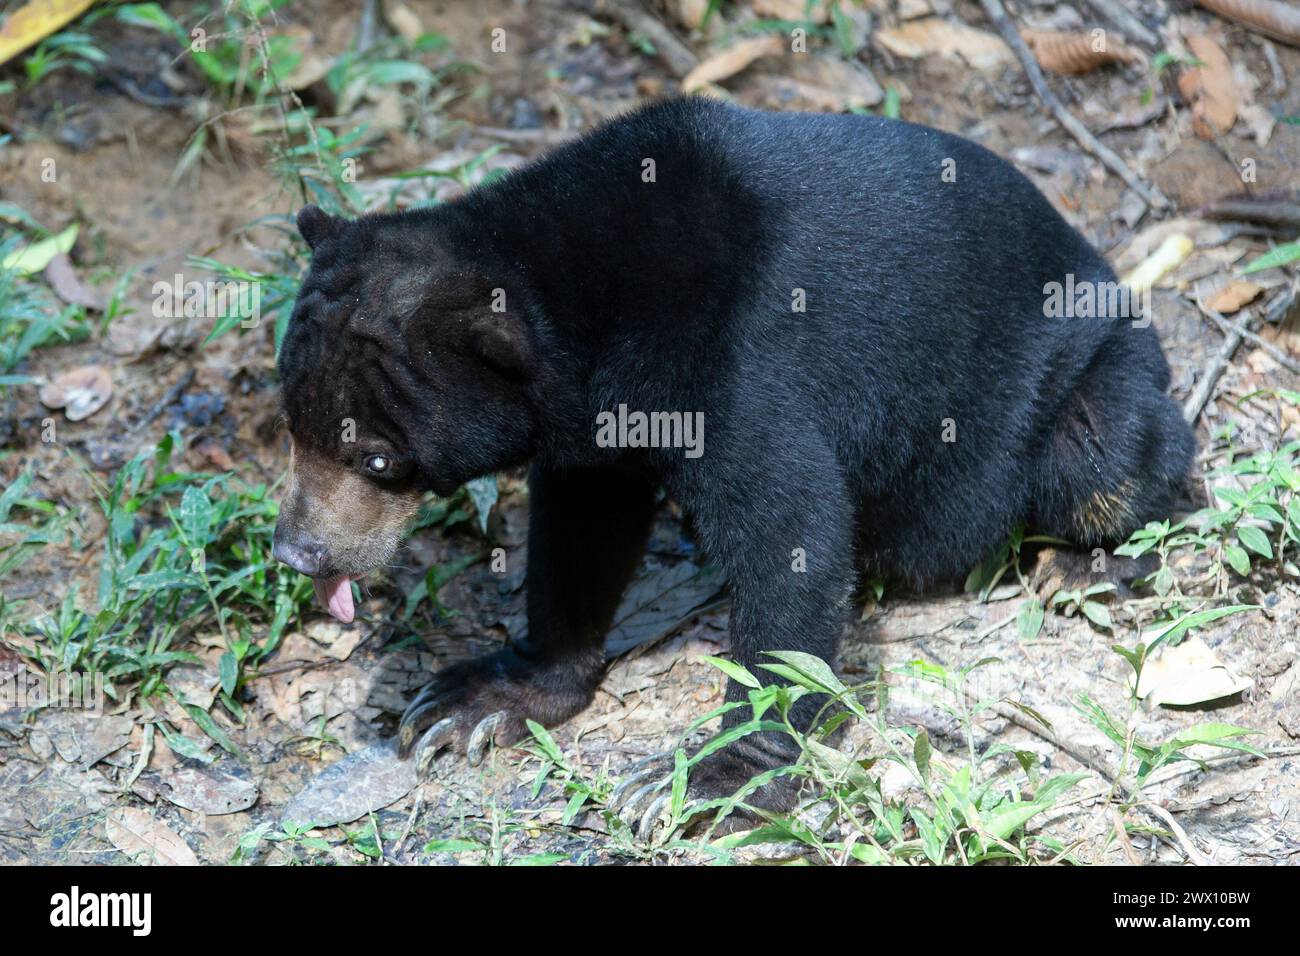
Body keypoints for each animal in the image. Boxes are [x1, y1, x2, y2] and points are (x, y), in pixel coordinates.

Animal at [272, 97, 1195, 825]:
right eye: (290, 425)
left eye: (379, 461)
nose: (298, 552)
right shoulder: (594, 423)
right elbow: (584, 522)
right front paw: (476, 698)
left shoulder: (733, 362)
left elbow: (792, 530)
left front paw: (710, 780)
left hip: (1080, 382)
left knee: (1107, 461)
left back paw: (1087, 566)